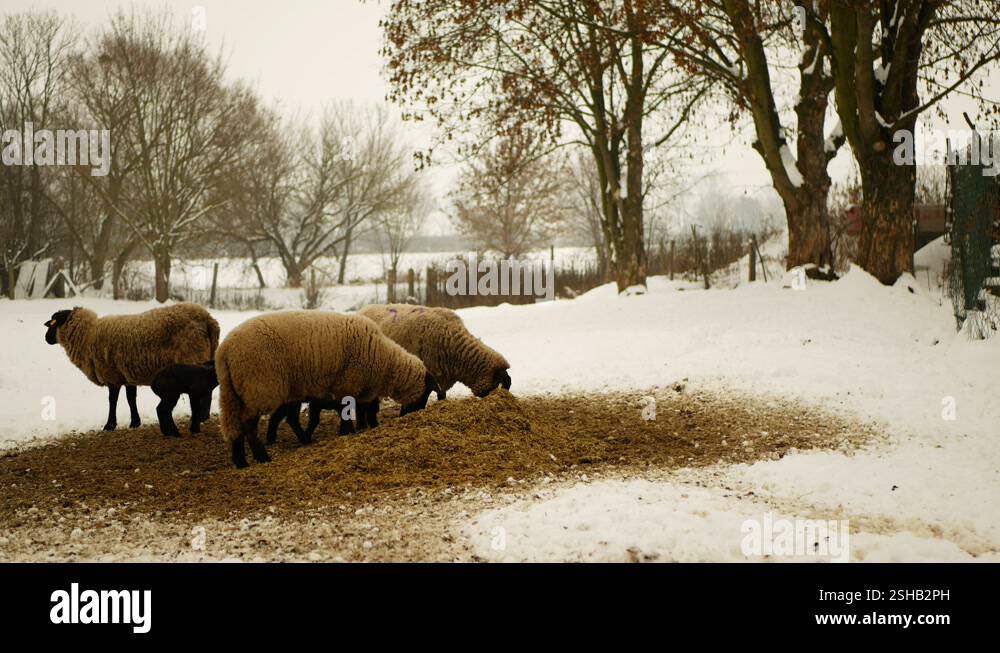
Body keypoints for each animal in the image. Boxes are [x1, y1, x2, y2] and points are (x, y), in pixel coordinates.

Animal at [44, 303, 221, 432]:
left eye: (53, 323)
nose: (45, 339)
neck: (88, 336)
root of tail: (208, 319)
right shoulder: (127, 374)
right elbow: (131, 399)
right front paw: (135, 422)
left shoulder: (112, 374)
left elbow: (112, 400)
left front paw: (110, 425)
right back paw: (202, 417)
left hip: (193, 357)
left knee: (204, 391)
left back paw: (201, 417)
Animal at [215, 311, 437, 468]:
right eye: (427, 392)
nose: (417, 413)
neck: (385, 363)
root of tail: (224, 350)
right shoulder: (349, 383)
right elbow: (349, 412)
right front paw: (348, 432)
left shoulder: (356, 389)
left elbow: (360, 411)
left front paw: (358, 429)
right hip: (259, 386)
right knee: (248, 424)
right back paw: (263, 457)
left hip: (234, 392)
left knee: (234, 424)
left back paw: (241, 461)